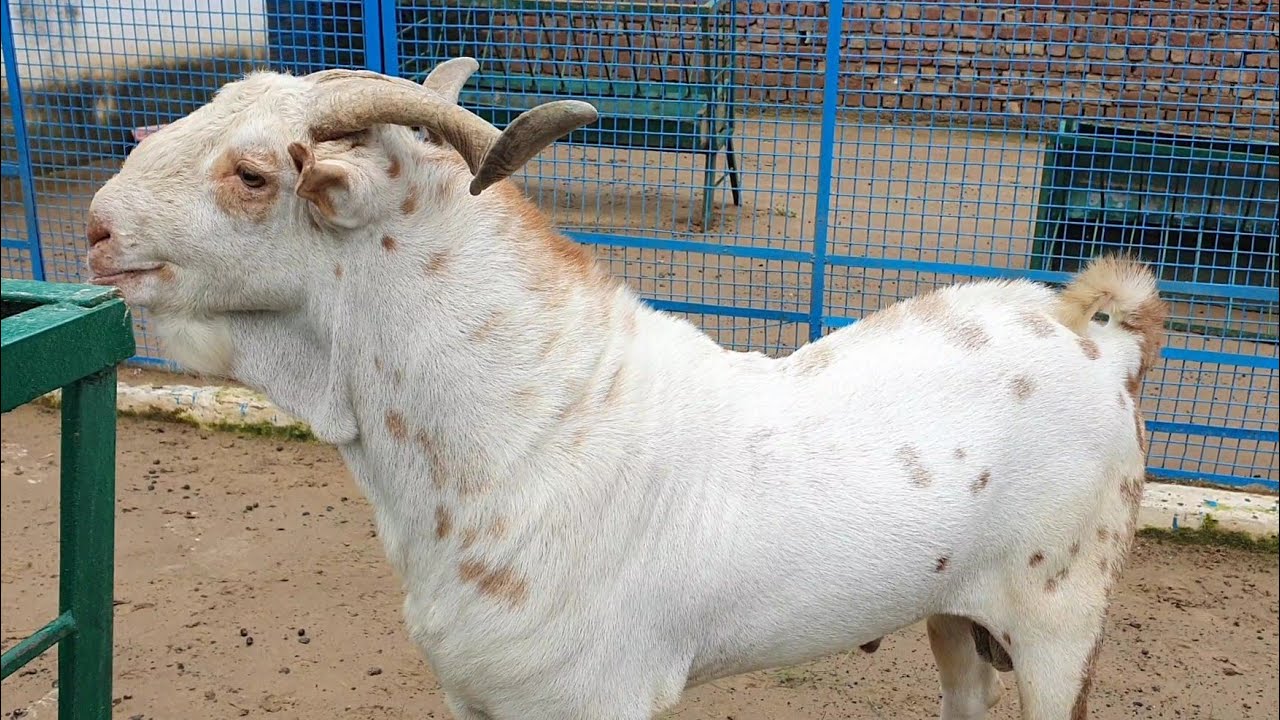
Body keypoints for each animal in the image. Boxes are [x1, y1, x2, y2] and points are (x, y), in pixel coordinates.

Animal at [85, 57, 1168, 720]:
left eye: (253, 174)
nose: (95, 227)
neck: (534, 427)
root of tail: (1099, 341)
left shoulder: (590, 698)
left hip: (1059, 621)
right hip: (954, 617)